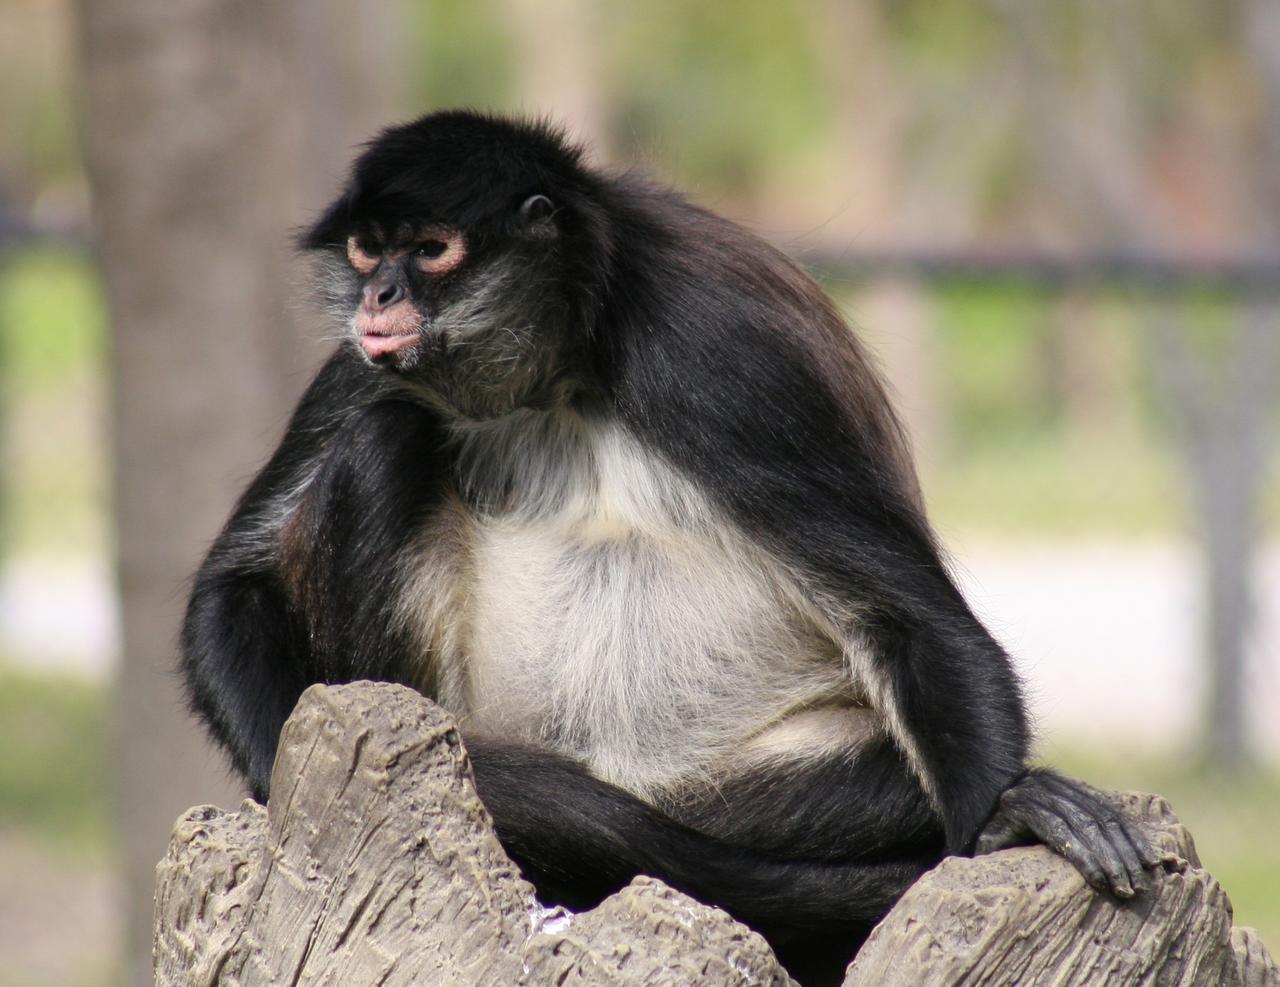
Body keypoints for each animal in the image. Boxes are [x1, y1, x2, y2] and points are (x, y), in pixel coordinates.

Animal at [181, 111, 1159, 985]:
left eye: (429, 250)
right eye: (366, 252)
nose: (378, 296)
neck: (564, 371)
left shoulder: (715, 351)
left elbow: (910, 620)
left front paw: (1008, 811)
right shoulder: (365, 359)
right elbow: (230, 583)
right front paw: (274, 787)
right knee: (387, 431)